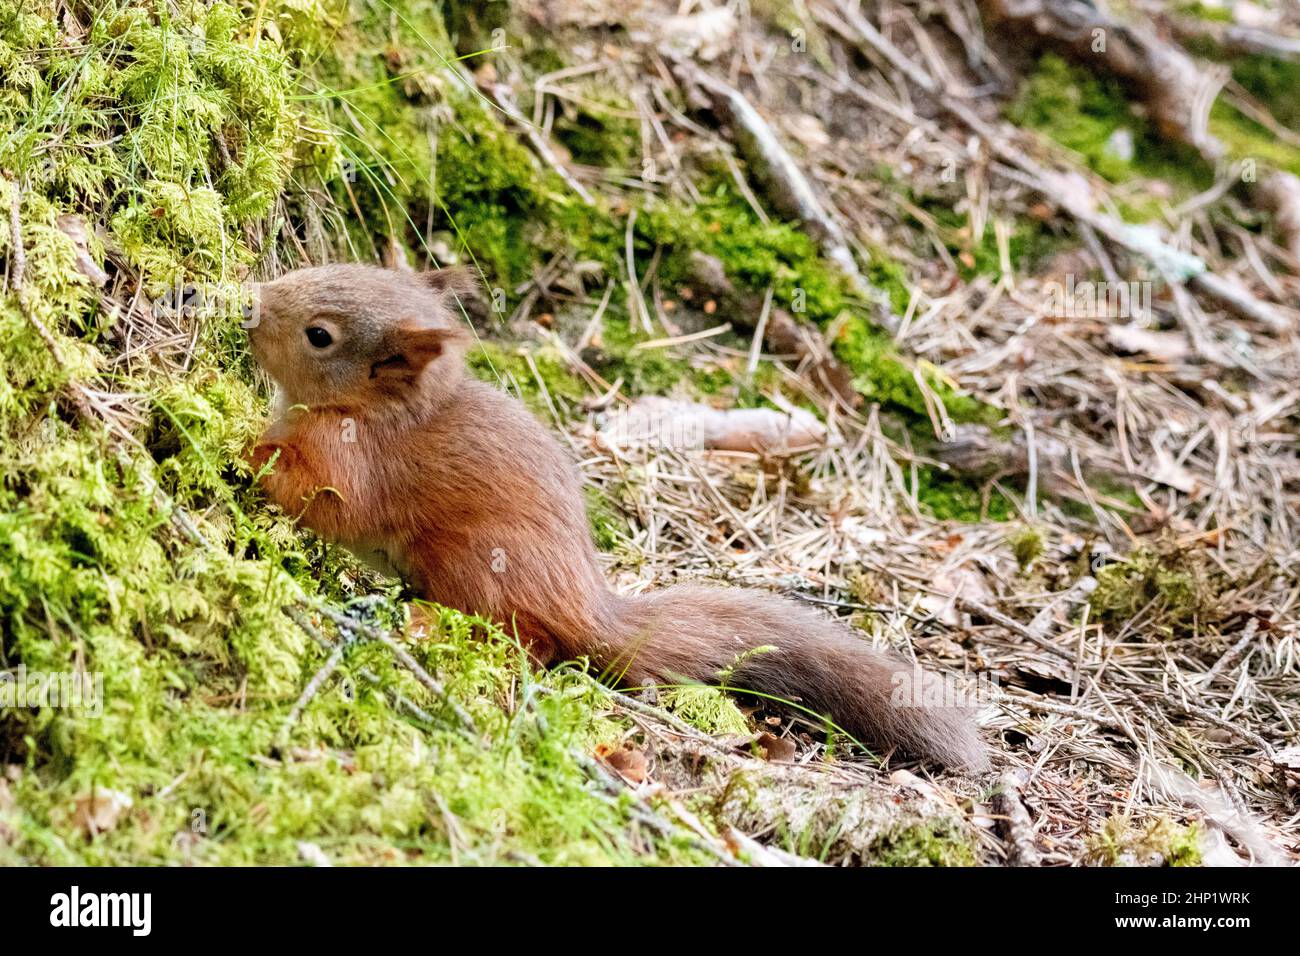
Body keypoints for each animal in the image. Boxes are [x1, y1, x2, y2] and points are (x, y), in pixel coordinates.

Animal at [247, 264, 988, 771]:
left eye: (320, 335)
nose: (252, 302)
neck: (378, 411)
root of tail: (586, 604)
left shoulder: (360, 466)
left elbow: (324, 502)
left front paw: (243, 452)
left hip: (474, 561)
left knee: (529, 643)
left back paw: (435, 624)